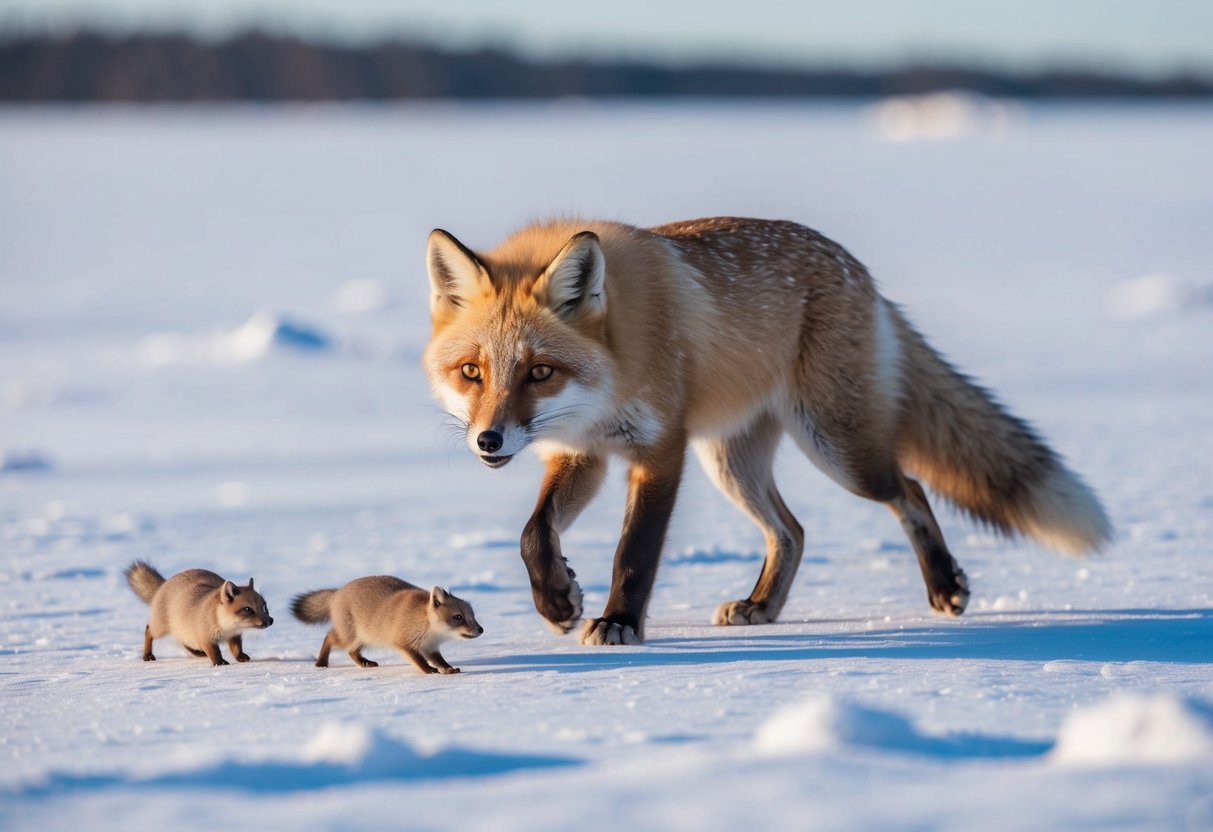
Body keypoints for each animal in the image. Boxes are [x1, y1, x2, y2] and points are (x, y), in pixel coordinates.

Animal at [125, 561, 274, 665]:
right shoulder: (205, 637)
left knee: (183, 642)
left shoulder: (234, 635)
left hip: (185, 632)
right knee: (148, 630)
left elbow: (236, 649)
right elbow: (215, 652)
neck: (225, 625)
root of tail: (164, 584)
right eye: (248, 609)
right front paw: (220, 663)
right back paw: (147, 655)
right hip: (161, 628)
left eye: (264, 607)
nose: (271, 620)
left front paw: (240, 657)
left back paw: (198, 653)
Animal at [291, 577, 483, 673]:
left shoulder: (430, 647)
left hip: (362, 640)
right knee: (329, 637)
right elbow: (420, 661)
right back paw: (321, 663)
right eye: (458, 617)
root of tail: (337, 592)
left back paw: (365, 663)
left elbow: (441, 662)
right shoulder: (404, 643)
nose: (481, 630)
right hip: (351, 637)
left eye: (473, 616)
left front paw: (449, 670)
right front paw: (429, 670)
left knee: (351, 652)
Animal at [422, 216, 1113, 646]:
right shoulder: (581, 452)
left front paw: (619, 622)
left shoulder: (660, 449)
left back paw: (945, 585)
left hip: (836, 449)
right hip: (732, 462)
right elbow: (533, 534)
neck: (612, 371)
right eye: (473, 371)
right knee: (794, 532)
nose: (489, 441)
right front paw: (558, 600)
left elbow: (635, 551)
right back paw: (763, 607)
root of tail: (861, 271)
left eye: (540, 371)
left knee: (910, 489)